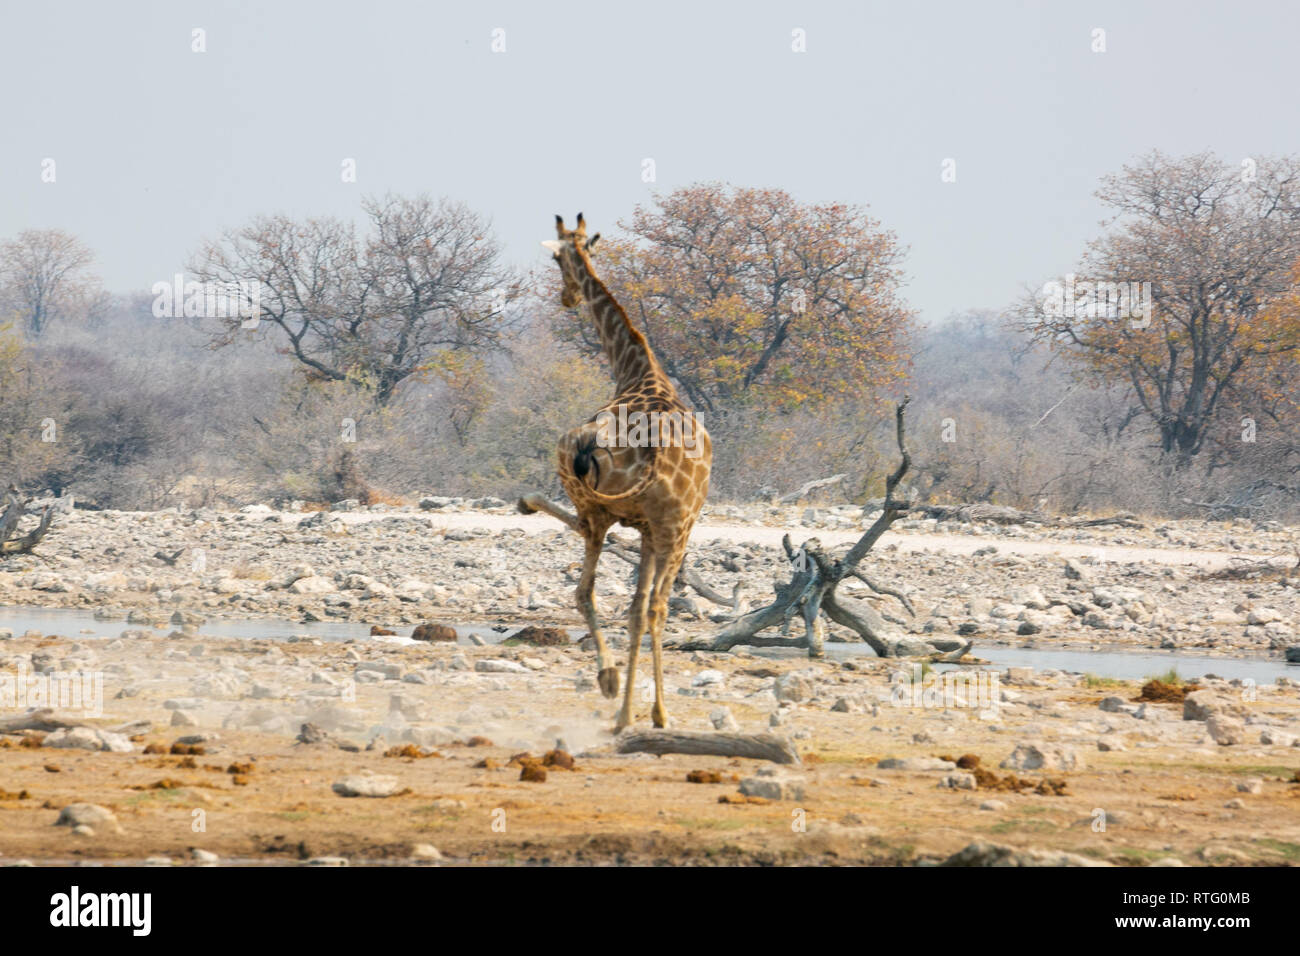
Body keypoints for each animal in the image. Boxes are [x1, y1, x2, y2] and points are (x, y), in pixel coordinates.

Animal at [519, 214, 712, 732]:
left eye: (556, 259)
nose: (567, 297)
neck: (634, 368)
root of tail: (656, 453)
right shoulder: (645, 527)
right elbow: (637, 610)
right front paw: (638, 709)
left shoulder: (610, 512)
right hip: (674, 527)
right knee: (654, 607)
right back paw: (651, 712)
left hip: (611, 511)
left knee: (584, 591)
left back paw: (611, 684)